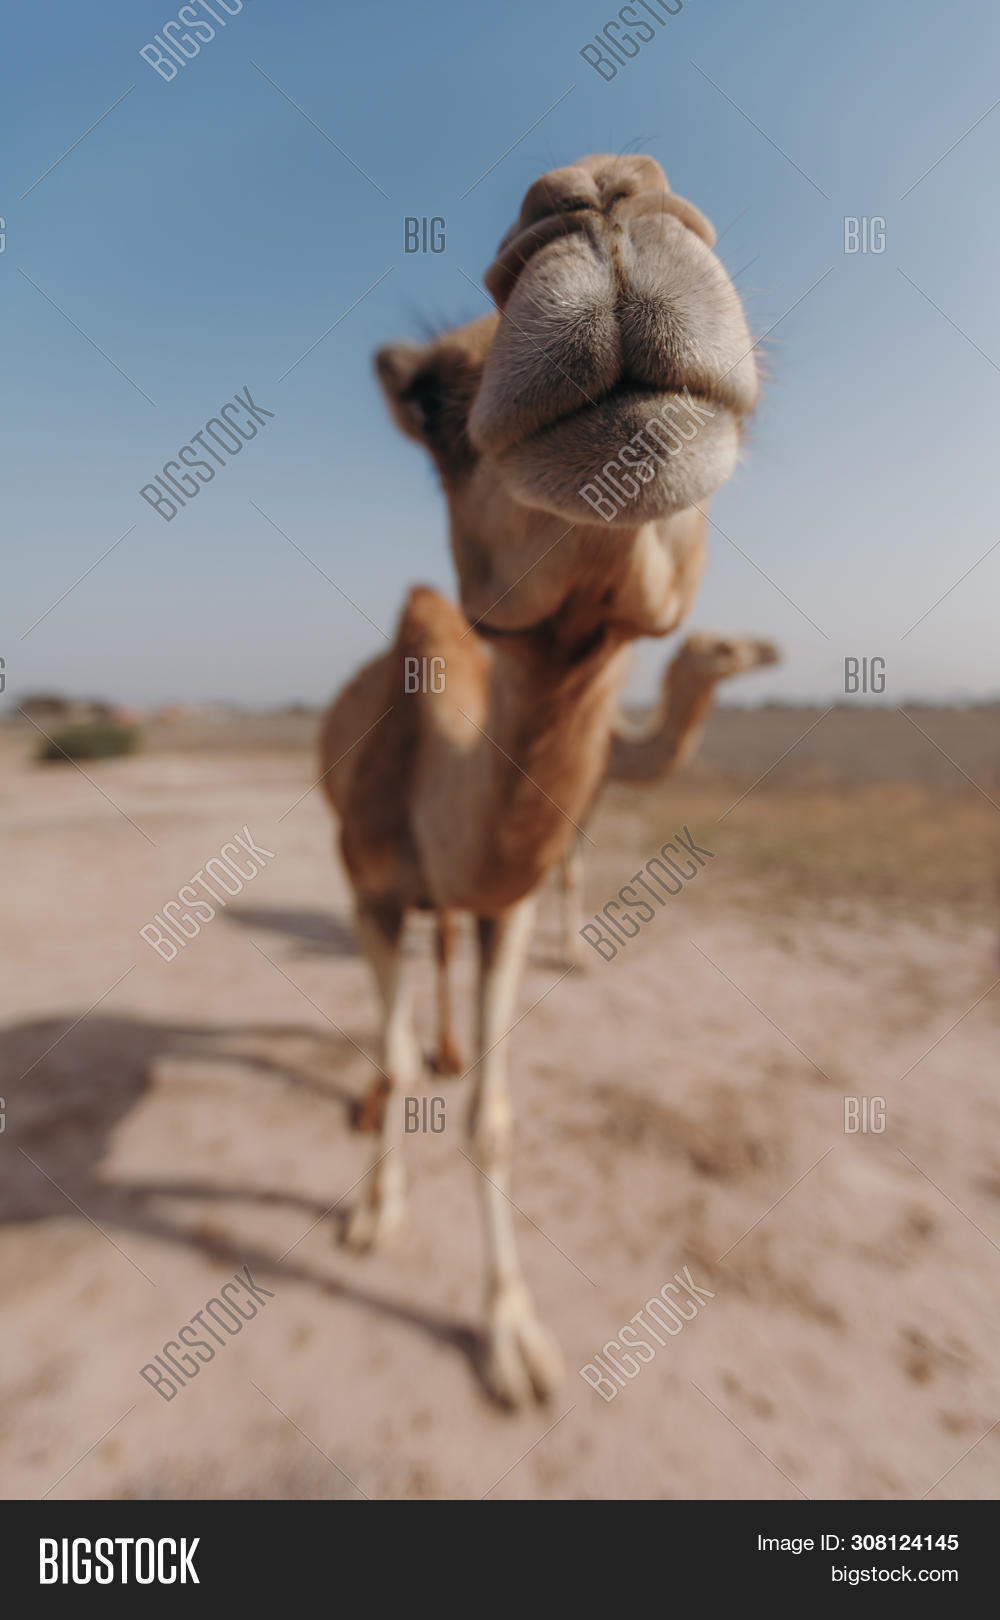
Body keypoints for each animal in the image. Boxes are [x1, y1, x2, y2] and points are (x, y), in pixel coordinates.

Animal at [320, 154, 760, 1405]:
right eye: (428, 401)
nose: (604, 191)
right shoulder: (369, 889)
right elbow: (383, 1054)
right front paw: (373, 1210)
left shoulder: (504, 901)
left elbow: (493, 1116)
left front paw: (511, 1334)